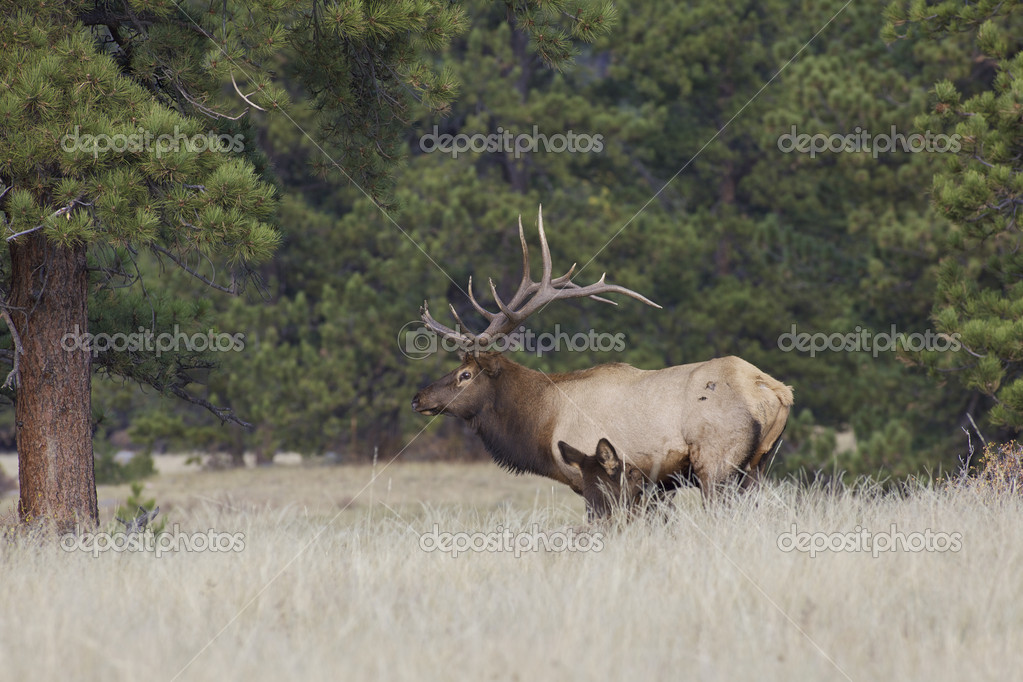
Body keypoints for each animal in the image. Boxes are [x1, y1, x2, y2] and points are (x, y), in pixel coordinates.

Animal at [410, 206, 794, 515]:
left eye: (465, 374)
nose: (418, 398)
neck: (543, 423)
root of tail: (776, 391)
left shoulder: (597, 473)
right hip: (758, 466)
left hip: (717, 463)